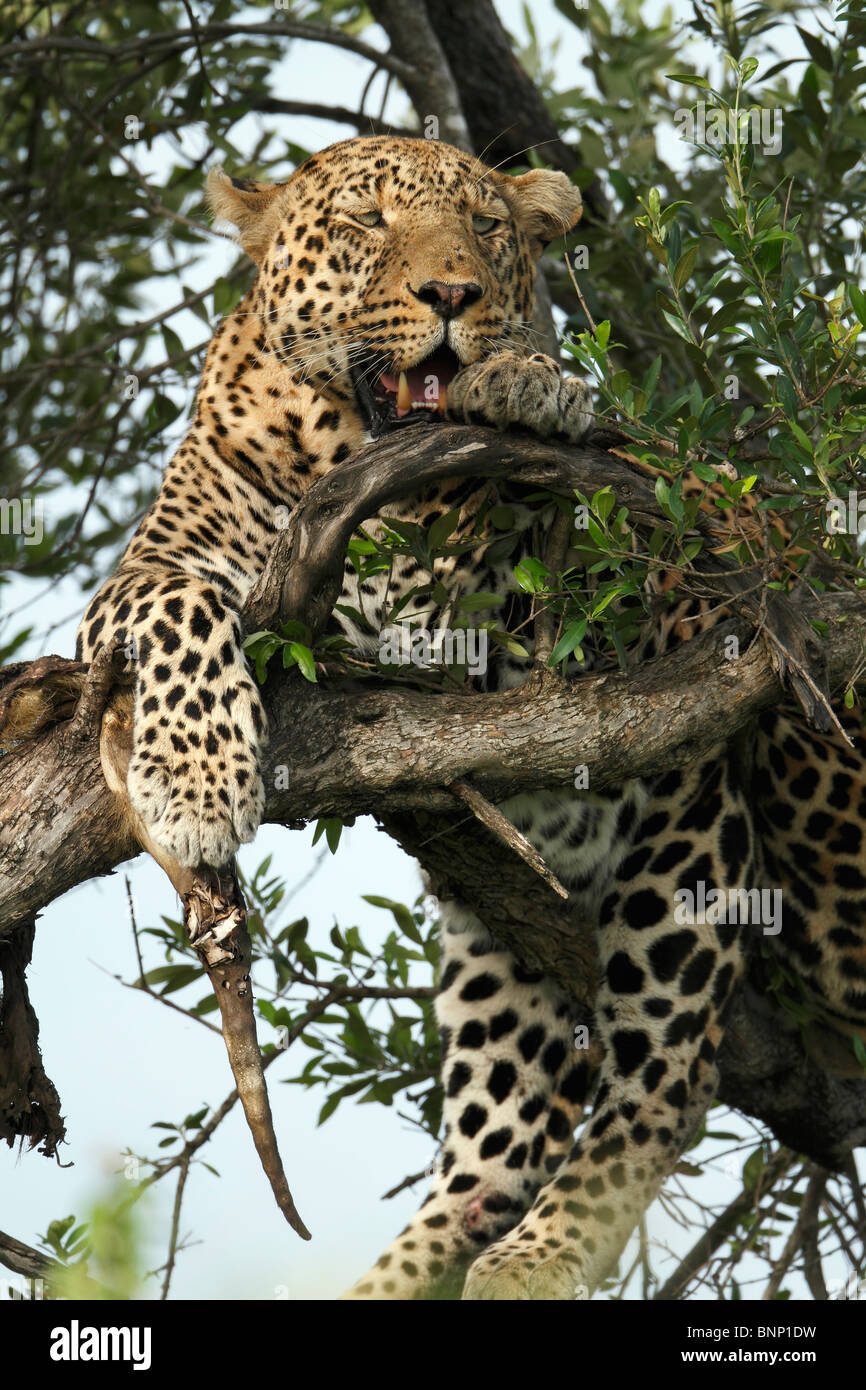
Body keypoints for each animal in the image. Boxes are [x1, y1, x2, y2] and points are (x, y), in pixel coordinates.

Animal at [74, 135, 866, 1301]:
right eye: (365, 219)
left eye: (487, 228)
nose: (452, 296)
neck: (338, 449)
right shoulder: (155, 565)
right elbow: (183, 612)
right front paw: (197, 779)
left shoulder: (478, 623)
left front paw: (524, 381)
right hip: (502, 931)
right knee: (492, 1151)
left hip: (720, 829)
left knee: (661, 1081)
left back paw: (544, 1249)